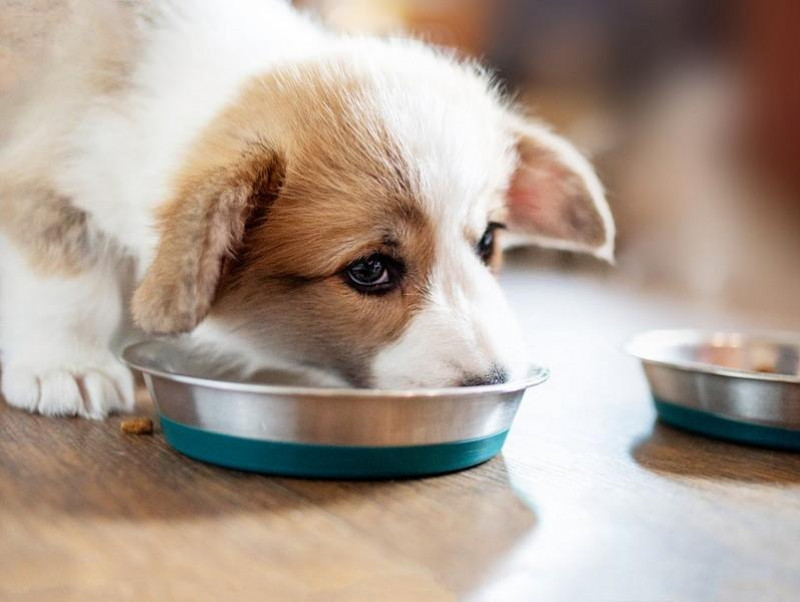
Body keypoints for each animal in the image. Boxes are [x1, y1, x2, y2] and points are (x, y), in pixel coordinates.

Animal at [0, 0, 612, 418]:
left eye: (487, 242)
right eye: (370, 270)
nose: (495, 380)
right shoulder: (44, 177)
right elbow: (68, 285)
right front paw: (68, 367)